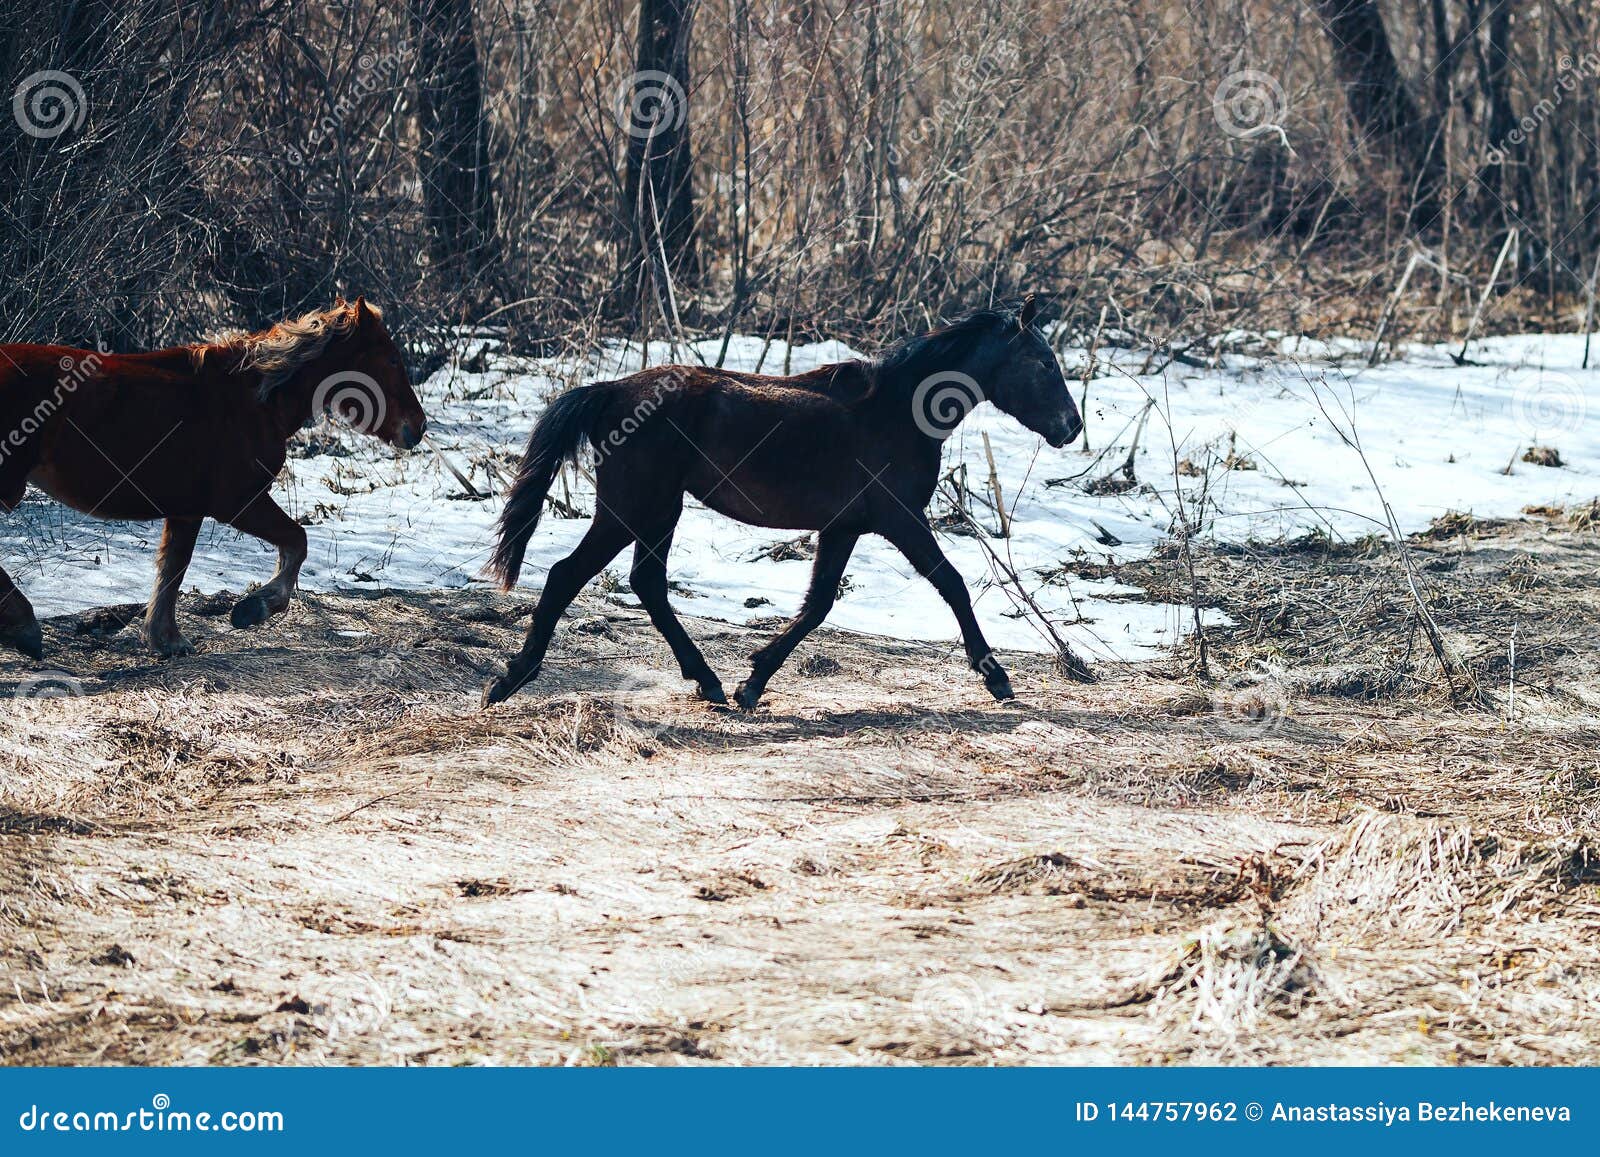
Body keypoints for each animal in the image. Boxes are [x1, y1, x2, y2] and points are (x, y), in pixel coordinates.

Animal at [0, 297, 427, 661]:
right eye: (391, 359)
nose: (419, 428)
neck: (253, 399)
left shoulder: (187, 512)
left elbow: (172, 570)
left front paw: (166, 639)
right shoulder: (238, 503)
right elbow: (296, 542)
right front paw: (254, 608)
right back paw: (24, 627)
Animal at [482, 295, 1082, 710]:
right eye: (1043, 363)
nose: (1072, 427)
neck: (897, 411)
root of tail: (609, 391)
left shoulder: (844, 527)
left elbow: (817, 605)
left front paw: (753, 681)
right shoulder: (900, 519)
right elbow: (951, 583)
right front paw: (997, 677)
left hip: (658, 512)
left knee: (646, 583)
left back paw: (709, 682)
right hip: (632, 510)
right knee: (567, 575)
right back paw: (509, 680)